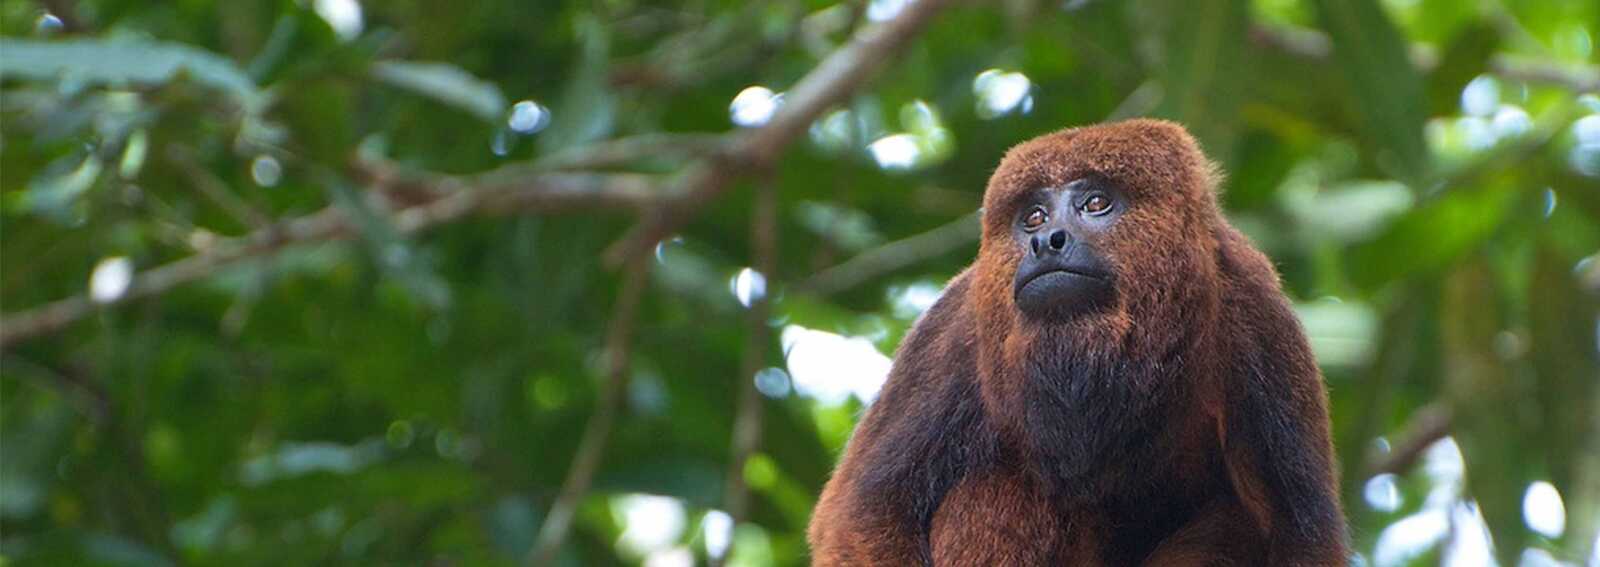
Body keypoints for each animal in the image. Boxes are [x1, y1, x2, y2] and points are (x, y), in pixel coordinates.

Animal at [807, 119, 1347, 566]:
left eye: (1095, 203)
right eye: (1033, 216)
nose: (1047, 241)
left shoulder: (1258, 314)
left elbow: (1300, 532)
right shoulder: (955, 331)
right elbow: (866, 511)